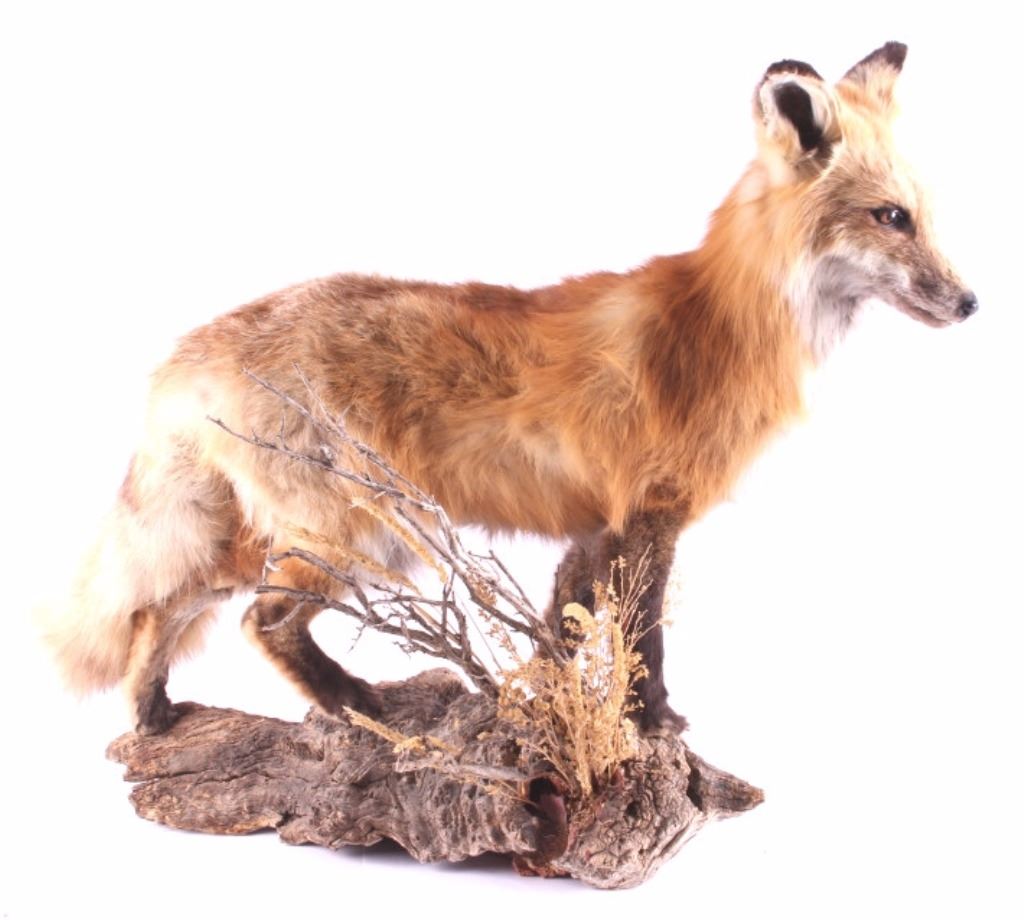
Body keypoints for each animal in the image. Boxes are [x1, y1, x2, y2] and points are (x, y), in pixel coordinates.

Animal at [40, 41, 976, 736]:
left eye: (927, 217)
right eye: (891, 218)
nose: (971, 303)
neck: (725, 323)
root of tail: (191, 348)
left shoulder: (598, 526)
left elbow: (565, 627)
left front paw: (548, 708)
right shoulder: (651, 511)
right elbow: (642, 639)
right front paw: (651, 723)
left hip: (269, 538)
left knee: (159, 612)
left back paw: (151, 715)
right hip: (361, 539)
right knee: (254, 623)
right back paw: (352, 705)